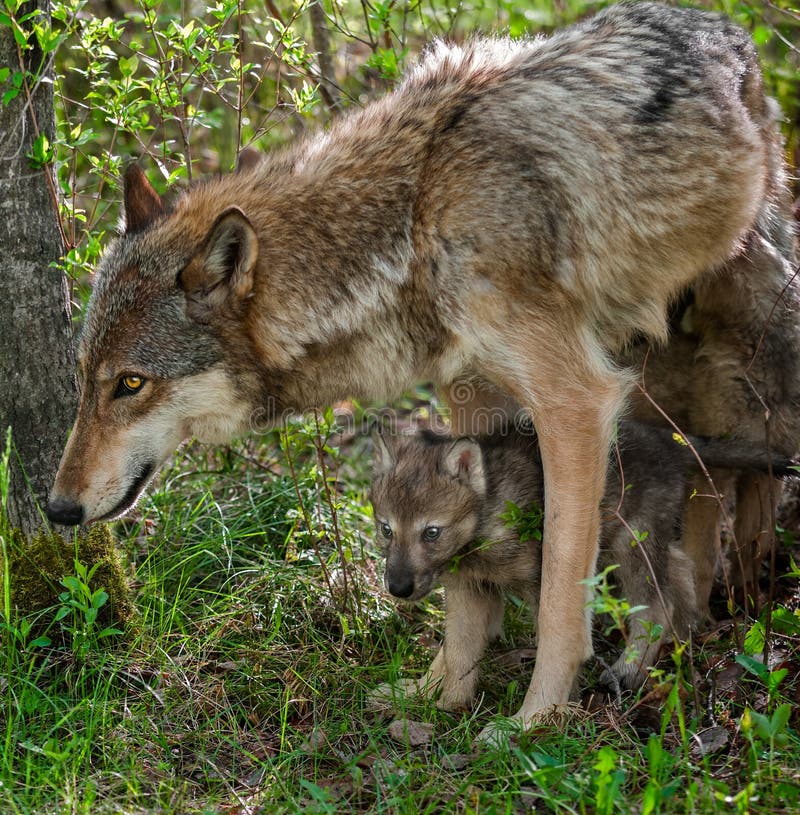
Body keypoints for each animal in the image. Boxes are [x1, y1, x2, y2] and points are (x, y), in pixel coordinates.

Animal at [369, 421, 795, 711]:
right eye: (386, 529)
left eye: (431, 532)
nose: (397, 588)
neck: (488, 514)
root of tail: (669, 441)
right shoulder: (473, 588)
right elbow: (457, 650)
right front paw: (436, 700)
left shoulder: (541, 583)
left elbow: (554, 644)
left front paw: (548, 711)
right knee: (680, 574)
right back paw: (682, 640)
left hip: (630, 542)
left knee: (657, 605)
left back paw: (629, 670)